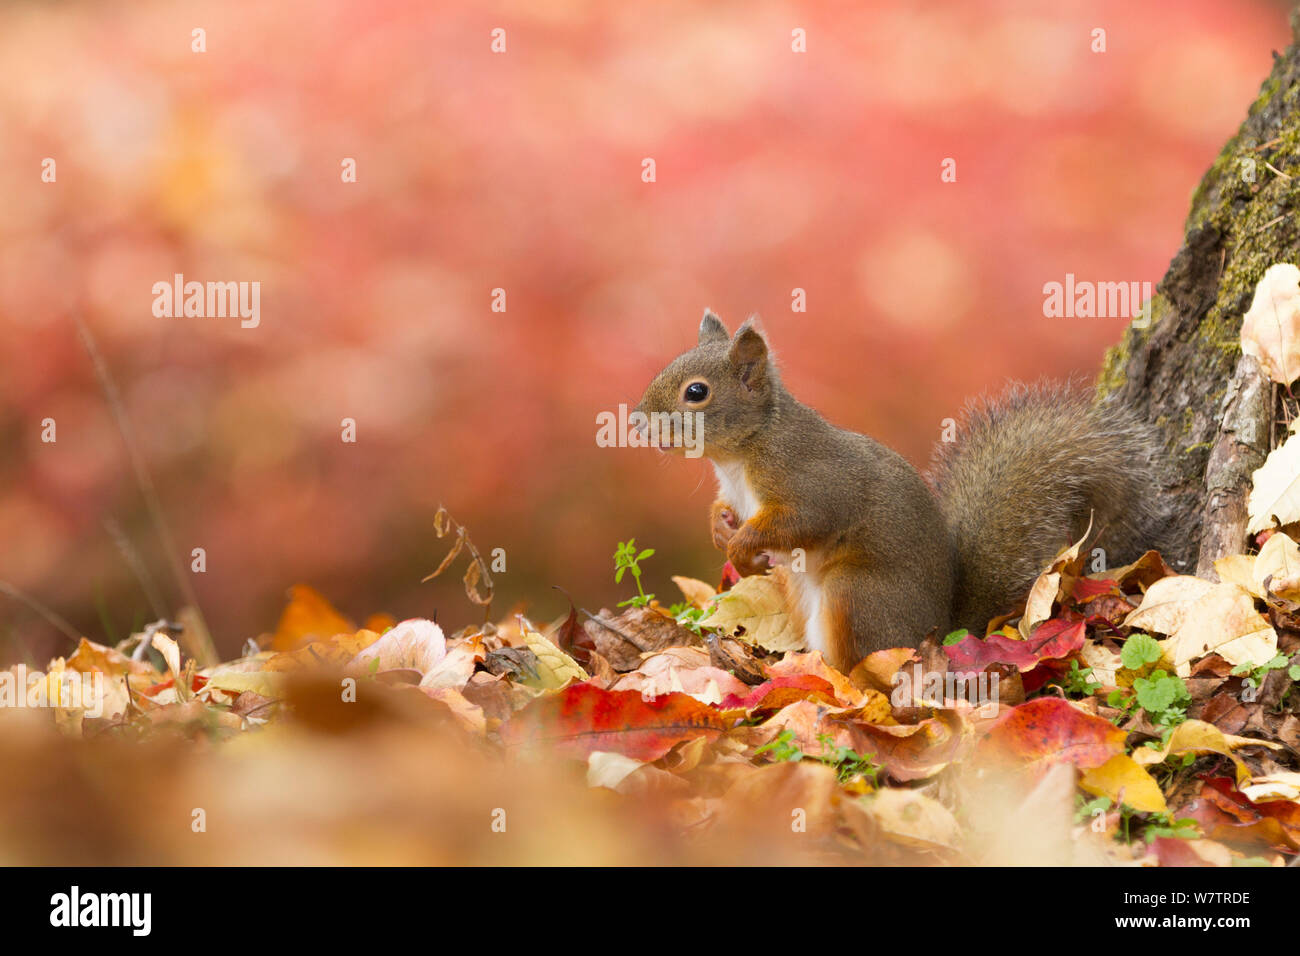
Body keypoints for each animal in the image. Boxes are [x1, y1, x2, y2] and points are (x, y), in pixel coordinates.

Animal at [634, 310, 1168, 673]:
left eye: (696, 392)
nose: (636, 422)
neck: (741, 454)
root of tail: (939, 631)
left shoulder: (810, 482)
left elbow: (802, 521)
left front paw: (742, 546)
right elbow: (726, 511)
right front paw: (721, 529)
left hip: (857, 595)